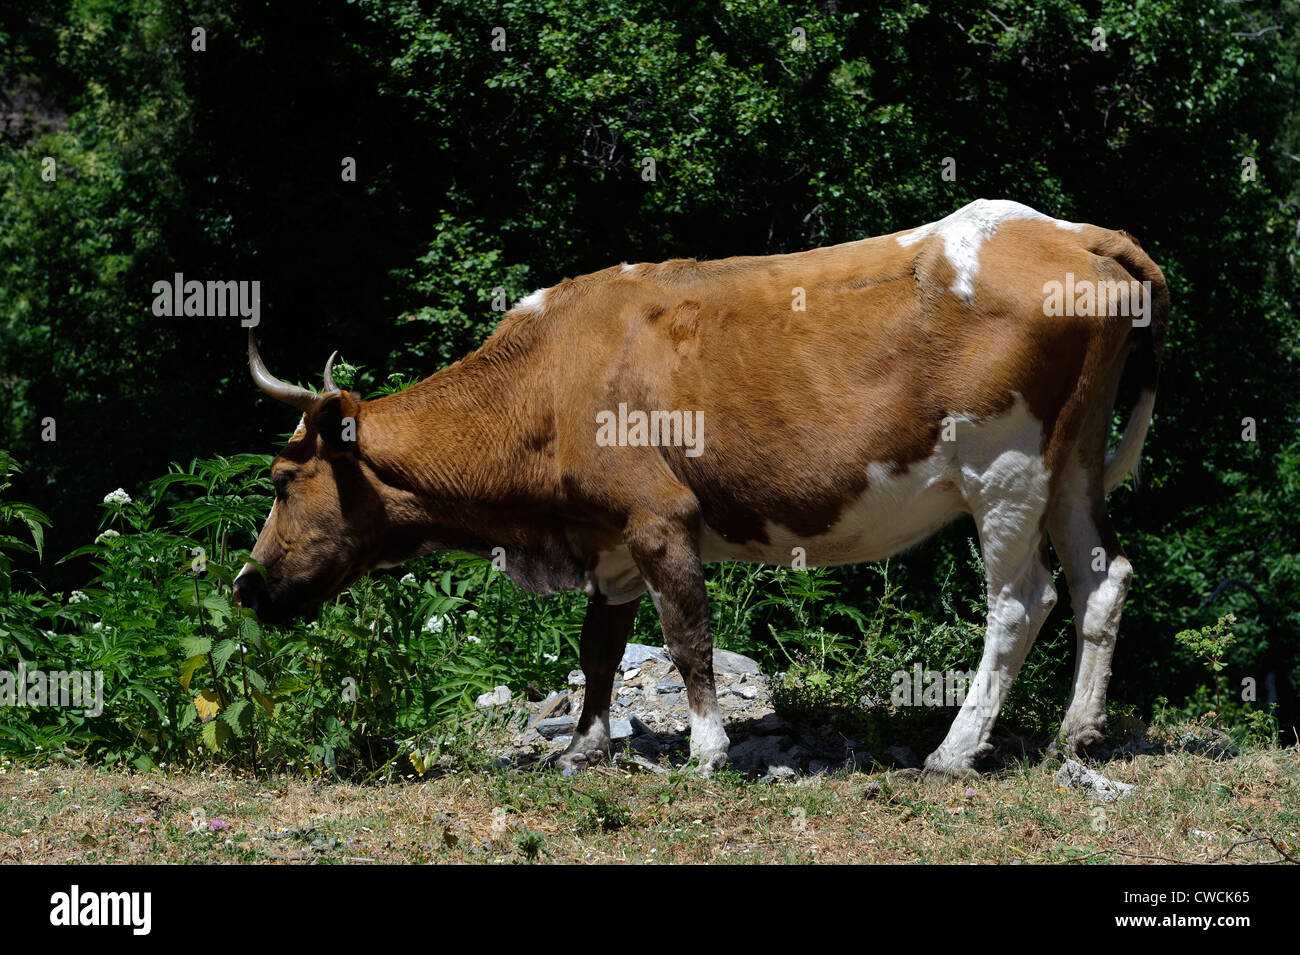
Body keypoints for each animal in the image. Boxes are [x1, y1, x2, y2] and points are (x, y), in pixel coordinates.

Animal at [234, 198, 1169, 778]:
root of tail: (1074, 230)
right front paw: (585, 746)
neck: (546, 376)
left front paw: (710, 747)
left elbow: (687, 636)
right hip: (1071, 465)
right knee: (1100, 579)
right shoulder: (607, 536)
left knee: (1022, 598)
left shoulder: (660, 515)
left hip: (1002, 468)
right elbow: (600, 648)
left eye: (280, 480)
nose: (245, 582)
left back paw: (955, 747)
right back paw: (1077, 731)